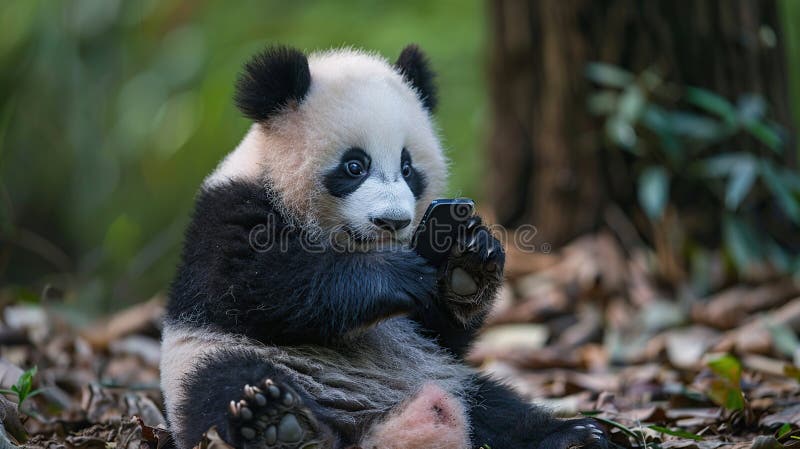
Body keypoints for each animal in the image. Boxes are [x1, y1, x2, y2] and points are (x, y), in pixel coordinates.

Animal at [160, 44, 609, 449]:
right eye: (354, 166)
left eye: (408, 168)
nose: (392, 221)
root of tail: (371, 425)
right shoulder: (227, 211)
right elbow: (259, 280)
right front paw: (394, 276)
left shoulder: (429, 338)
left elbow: (439, 330)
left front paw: (468, 260)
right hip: (210, 364)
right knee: (225, 383)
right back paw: (281, 425)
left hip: (440, 376)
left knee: (496, 407)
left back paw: (572, 435)